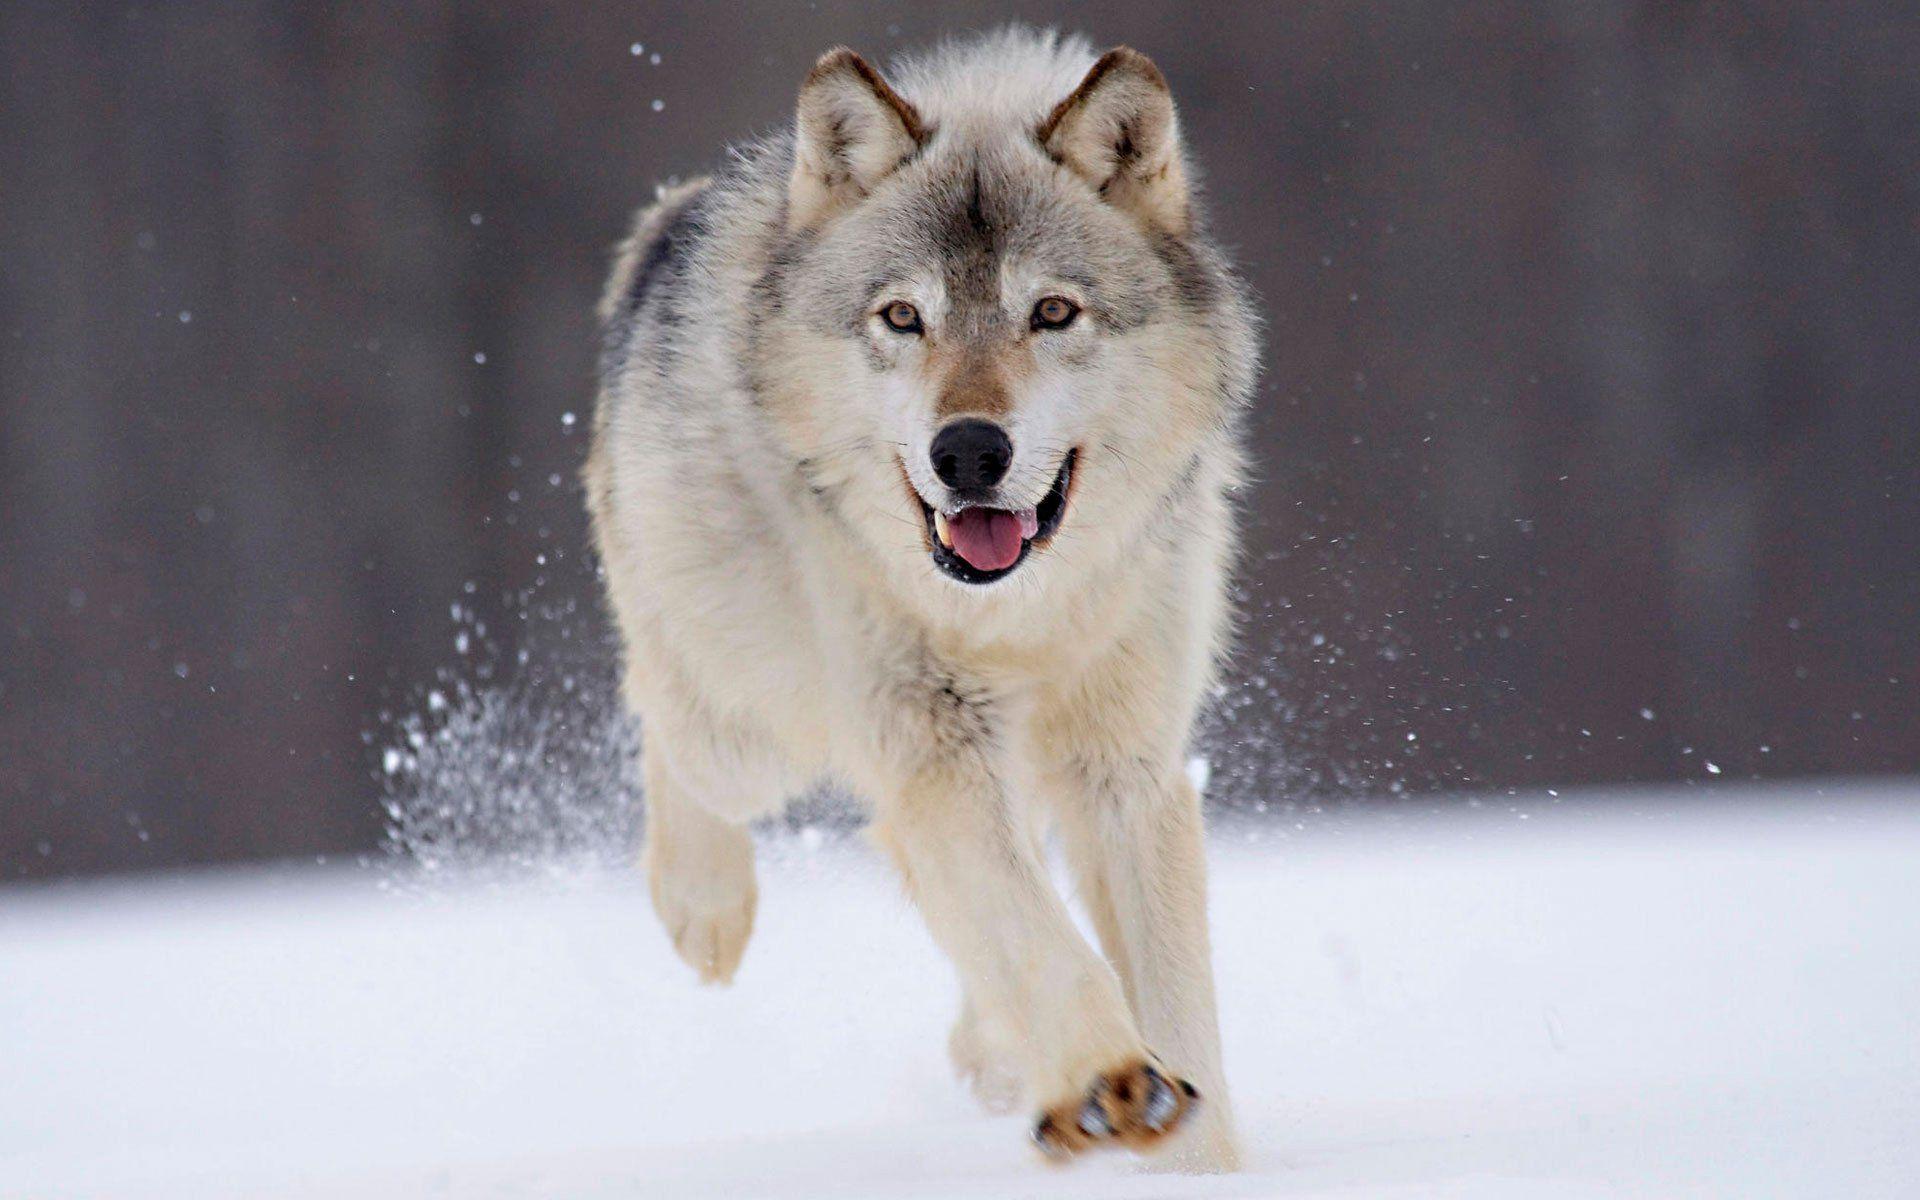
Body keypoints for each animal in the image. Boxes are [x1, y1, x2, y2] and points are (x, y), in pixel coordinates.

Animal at [584, 27, 1257, 1171]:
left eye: (1052, 313)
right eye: (903, 317)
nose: (969, 451)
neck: (1017, 618)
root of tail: (671, 220)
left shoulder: (1126, 770)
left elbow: (1173, 1003)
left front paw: (1190, 1156)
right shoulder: (931, 744)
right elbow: (1040, 939)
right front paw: (1108, 1081)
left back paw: (994, 1055)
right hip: (751, 726)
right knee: (665, 719)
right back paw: (704, 909)